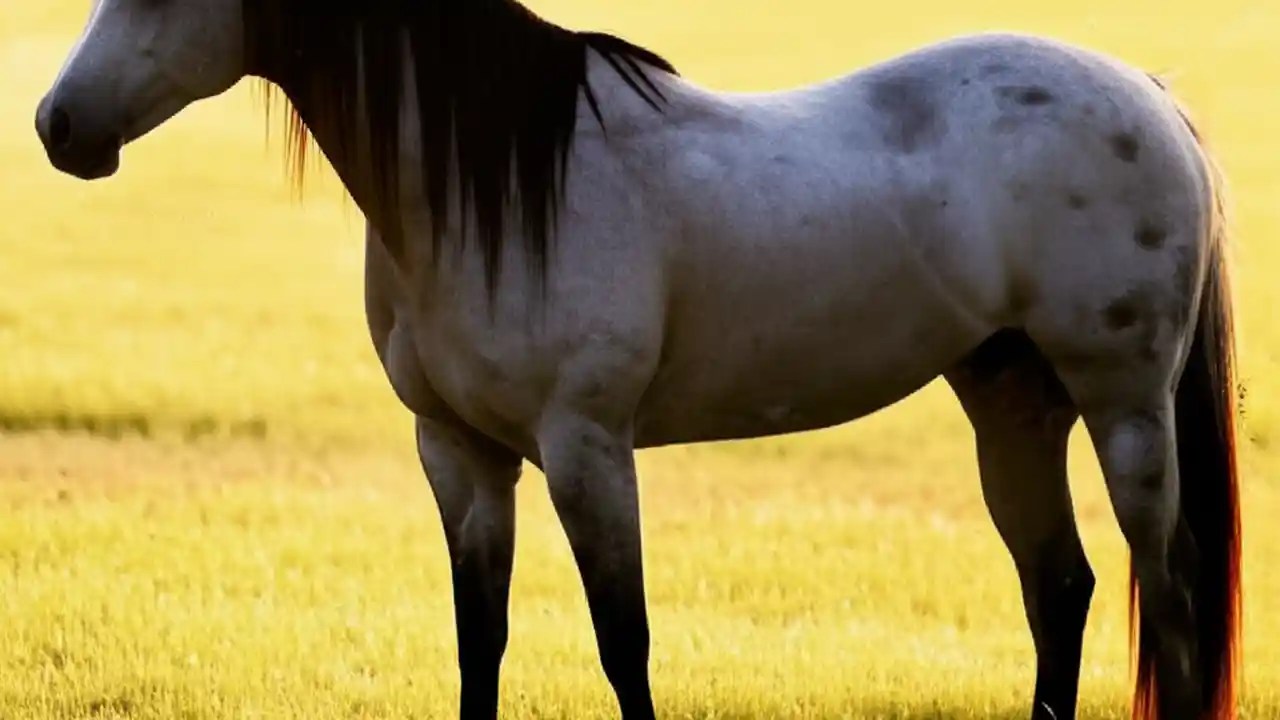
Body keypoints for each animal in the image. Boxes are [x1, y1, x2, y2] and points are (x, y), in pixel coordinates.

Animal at [35, 1, 1241, 718]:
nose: (57, 129)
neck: (493, 192)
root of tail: (1148, 95)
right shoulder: (459, 454)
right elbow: (480, 640)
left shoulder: (586, 449)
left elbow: (624, 642)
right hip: (1011, 403)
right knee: (1061, 586)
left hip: (1123, 408)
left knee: (1170, 594)